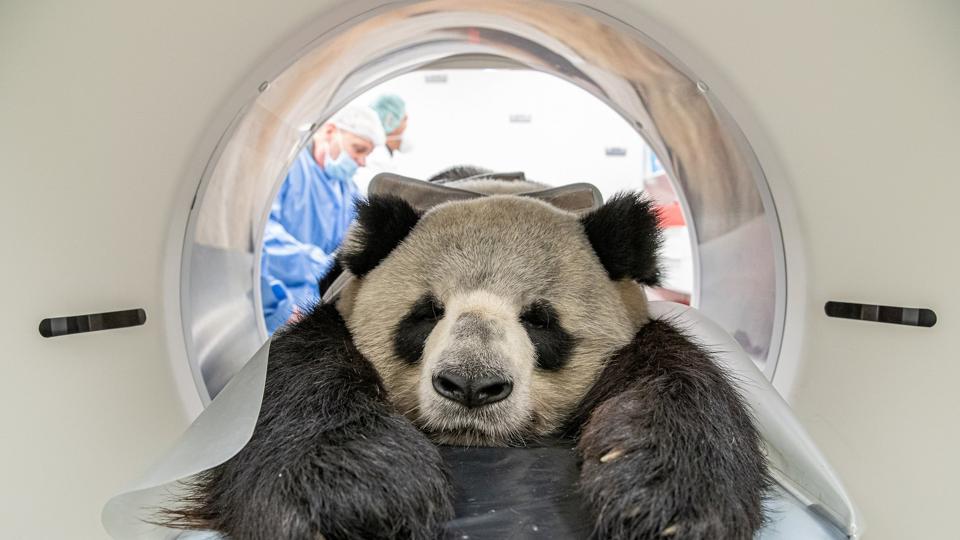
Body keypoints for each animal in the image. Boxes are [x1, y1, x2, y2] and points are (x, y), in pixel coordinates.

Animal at [164, 170, 770, 540]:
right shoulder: (338, 307)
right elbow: (298, 379)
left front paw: (661, 497)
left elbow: (677, 373)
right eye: (427, 313)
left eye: (539, 320)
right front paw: (354, 497)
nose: (471, 387)